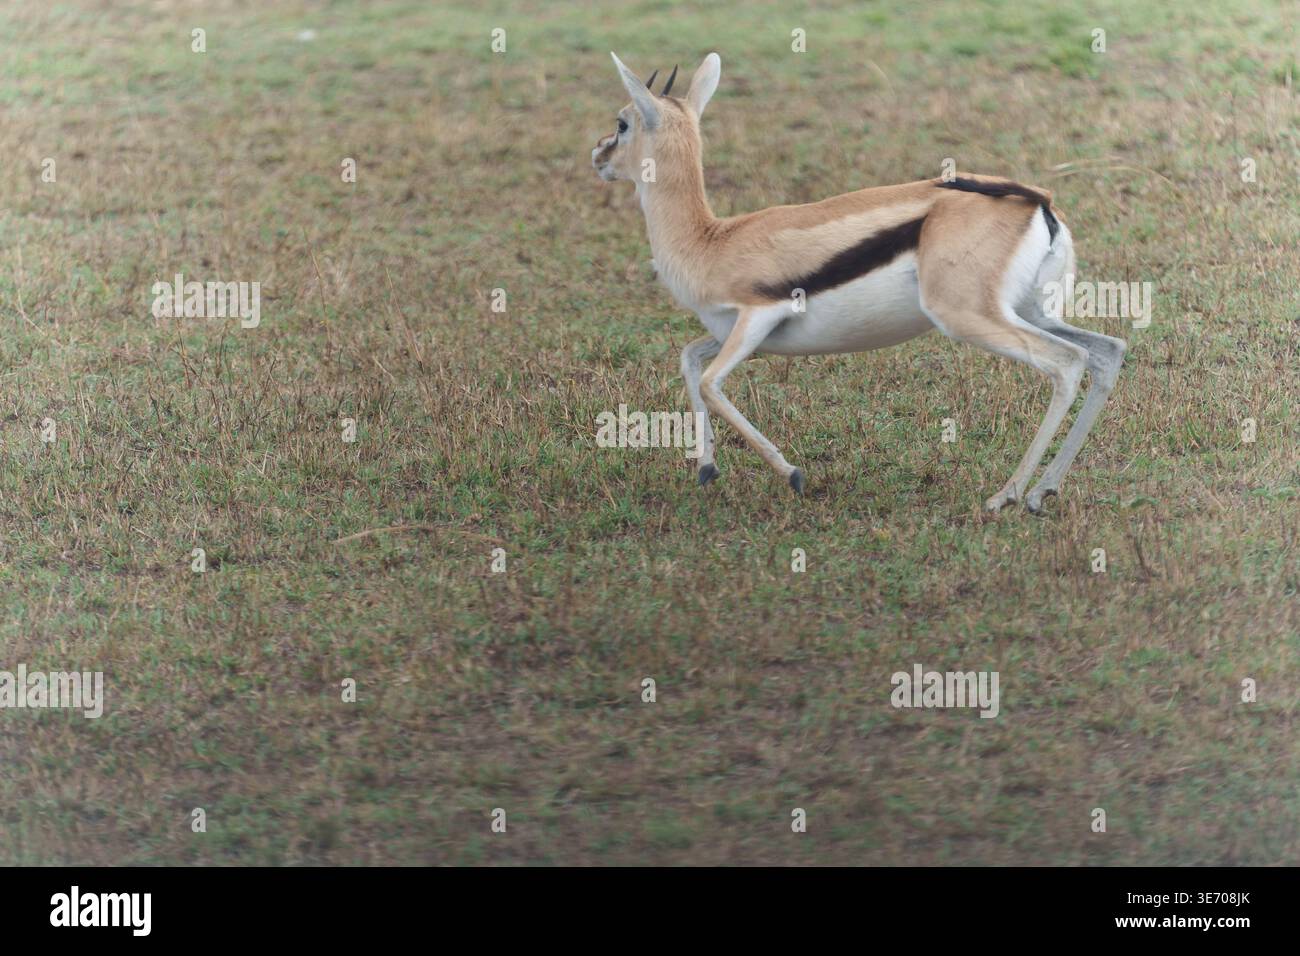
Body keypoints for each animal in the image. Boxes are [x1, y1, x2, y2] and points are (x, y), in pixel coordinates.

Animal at [592, 52, 1126, 512]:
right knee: (1106, 351)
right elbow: (689, 360)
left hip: (968, 318)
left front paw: (793, 474)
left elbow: (709, 383)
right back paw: (1043, 491)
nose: (598, 155)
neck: (710, 240)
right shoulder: (738, 335)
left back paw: (1007, 495)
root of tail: (1036, 199)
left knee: (1066, 363)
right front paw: (707, 469)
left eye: (622, 123)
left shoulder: (758, 316)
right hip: (1031, 311)